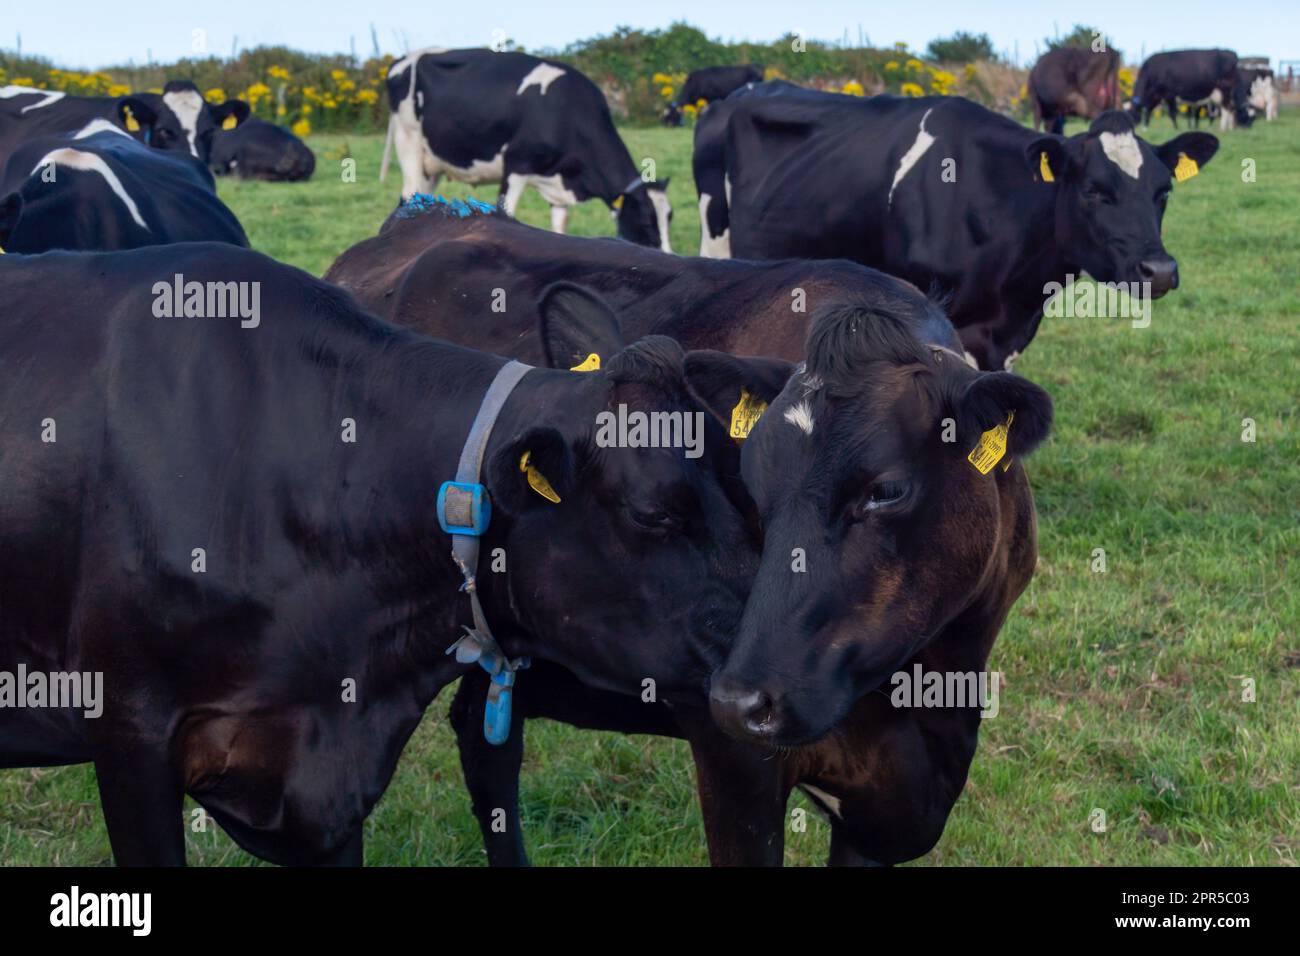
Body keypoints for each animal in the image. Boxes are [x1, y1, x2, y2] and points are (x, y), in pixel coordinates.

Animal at [379, 47, 672, 251]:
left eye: (669, 217)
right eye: (646, 221)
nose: (668, 255)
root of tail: (403, 60)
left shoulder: (558, 188)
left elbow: (559, 227)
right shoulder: (516, 167)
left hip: (432, 167)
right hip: (409, 145)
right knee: (406, 198)